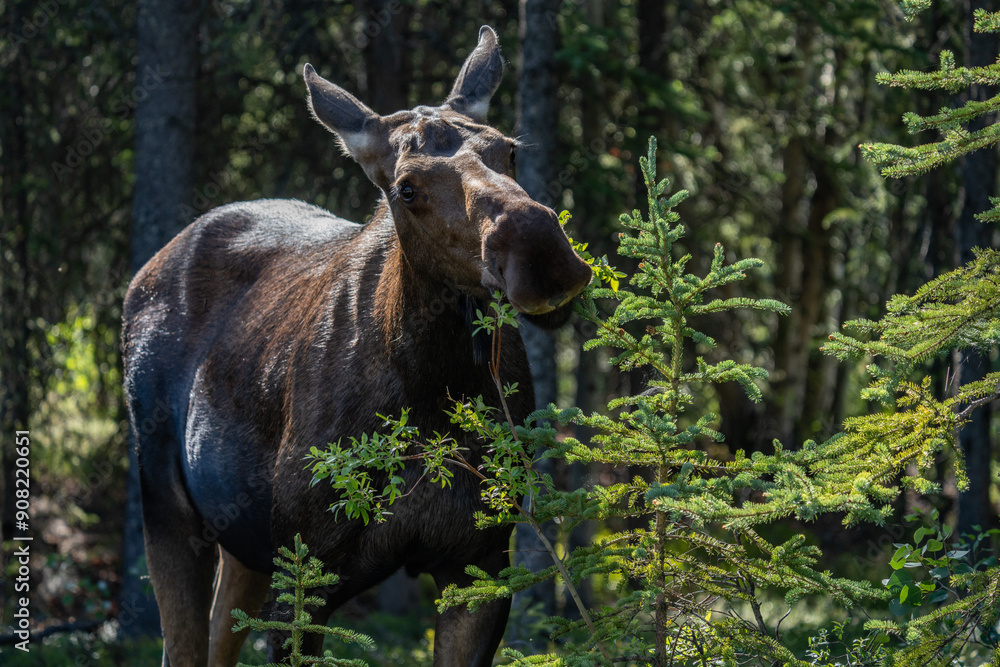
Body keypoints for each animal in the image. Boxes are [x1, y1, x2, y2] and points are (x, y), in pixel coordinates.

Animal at [122, 26, 592, 666]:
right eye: (406, 187)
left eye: (510, 149)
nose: (540, 252)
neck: (435, 387)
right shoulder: (308, 575)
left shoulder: (481, 563)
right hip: (167, 505)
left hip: (245, 544)